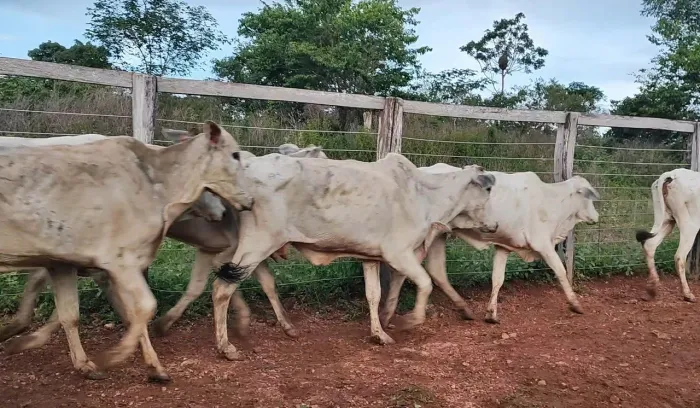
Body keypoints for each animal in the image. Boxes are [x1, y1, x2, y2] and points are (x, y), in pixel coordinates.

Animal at [0, 121, 253, 382]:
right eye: (235, 154)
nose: (247, 202)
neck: (156, 184)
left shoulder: (62, 263)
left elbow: (70, 315)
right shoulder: (121, 262)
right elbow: (144, 307)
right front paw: (117, 356)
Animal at [205, 153, 497, 359]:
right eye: (488, 190)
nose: (494, 225)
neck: (424, 195)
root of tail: (247, 164)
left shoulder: (371, 257)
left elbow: (374, 295)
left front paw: (379, 333)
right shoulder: (398, 253)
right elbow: (425, 283)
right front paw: (408, 321)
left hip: (249, 248)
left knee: (258, 281)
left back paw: (285, 326)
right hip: (257, 244)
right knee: (221, 288)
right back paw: (226, 347)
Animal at [378, 165, 600, 325]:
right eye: (588, 197)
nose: (596, 217)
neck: (552, 200)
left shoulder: (504, 247)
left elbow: (497, 279)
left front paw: (491, 314)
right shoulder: (543, 244)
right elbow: (561, 272)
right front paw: (575, 304)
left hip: (439, 234)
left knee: (436, 271)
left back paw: (464, 310)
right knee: (402, 270)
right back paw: (387, 315)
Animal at [636, 168, 700, 302]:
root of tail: (671, 175)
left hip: (666, 219)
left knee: (650, 244)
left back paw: (652, 288)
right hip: (690, 224)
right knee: (679, 256)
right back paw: (688, 294)